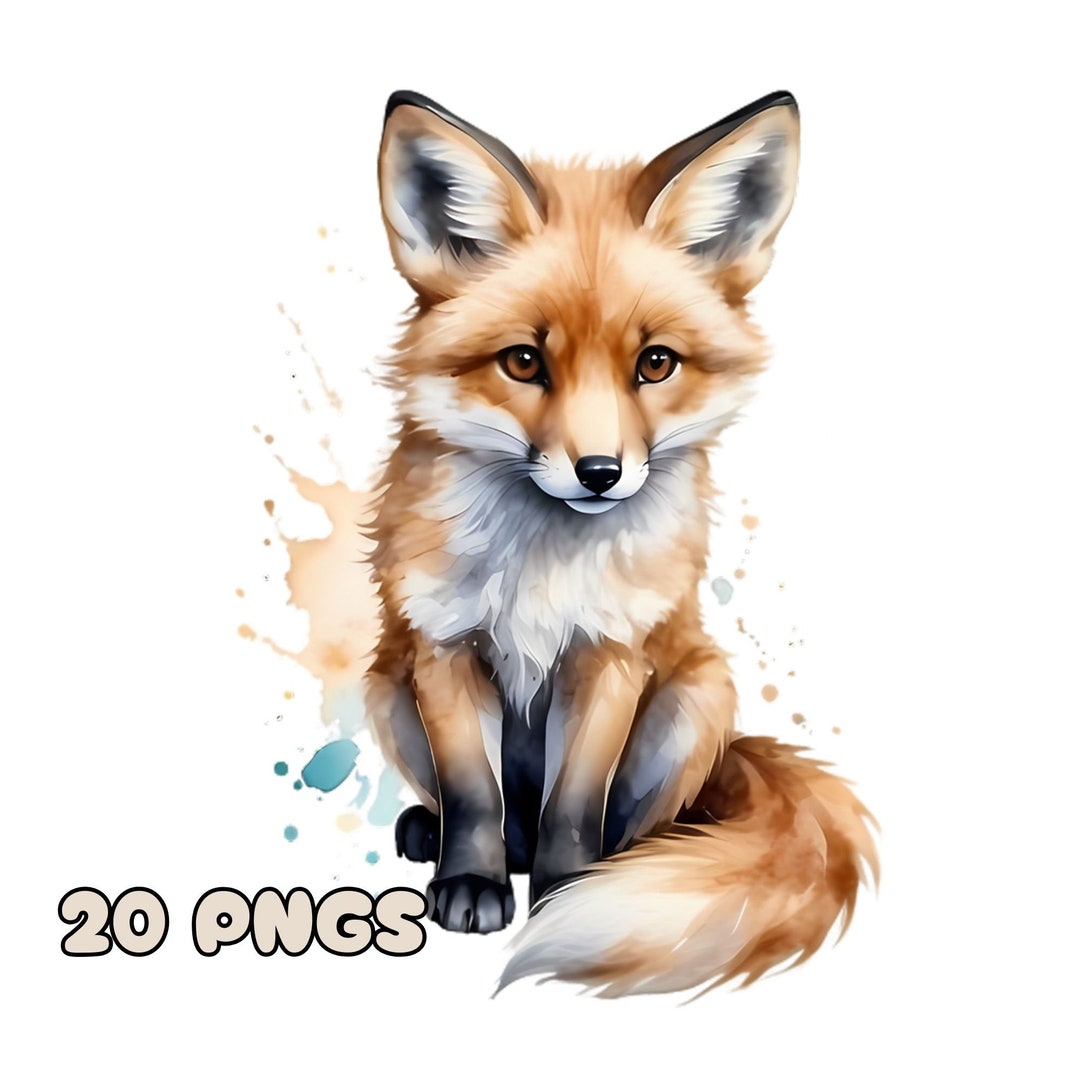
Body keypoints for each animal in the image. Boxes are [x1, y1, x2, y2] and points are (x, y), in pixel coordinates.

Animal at [364, 89, 878, 996]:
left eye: (656, 363)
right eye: (524, 362)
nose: (601, 473)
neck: (542, 572)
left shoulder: (609, 656)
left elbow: (574, 804)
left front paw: (565, 894)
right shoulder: (443, 651)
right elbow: (474, 796)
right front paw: (471, 884)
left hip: (695, 701)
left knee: (631, 822)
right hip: (386, 691)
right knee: (493, 815)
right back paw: (439, 836)